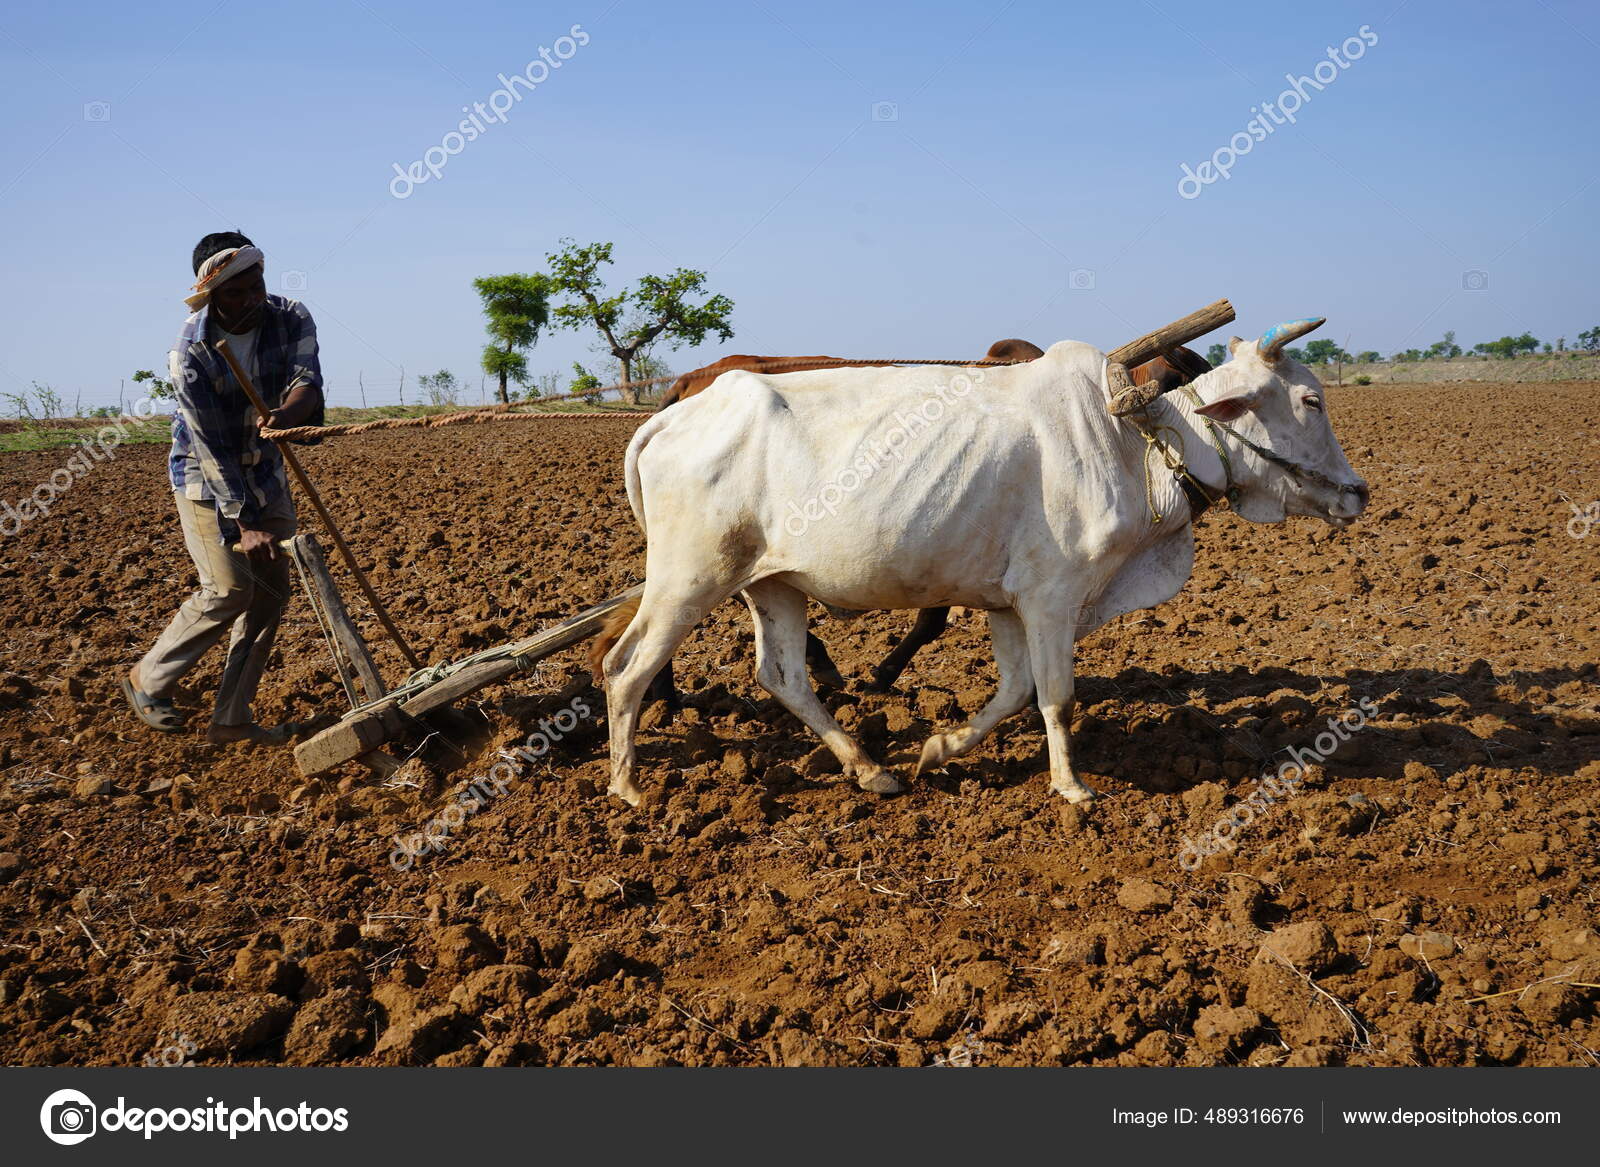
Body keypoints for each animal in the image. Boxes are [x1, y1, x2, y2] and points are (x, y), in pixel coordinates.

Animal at [598, 317, 1365, 806]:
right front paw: (1072, 787)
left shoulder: (1007, 602)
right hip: (689, 579)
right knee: (625, 665)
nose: (1358, 492)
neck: (1137, 439)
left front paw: (939, 749)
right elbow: (1056, 695)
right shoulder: (1054, 596)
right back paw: (629, 785)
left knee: (783, 675)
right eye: (1310, 399)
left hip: (773, 585)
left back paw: (870, 769)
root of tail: (669, 414)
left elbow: (1015, 691)